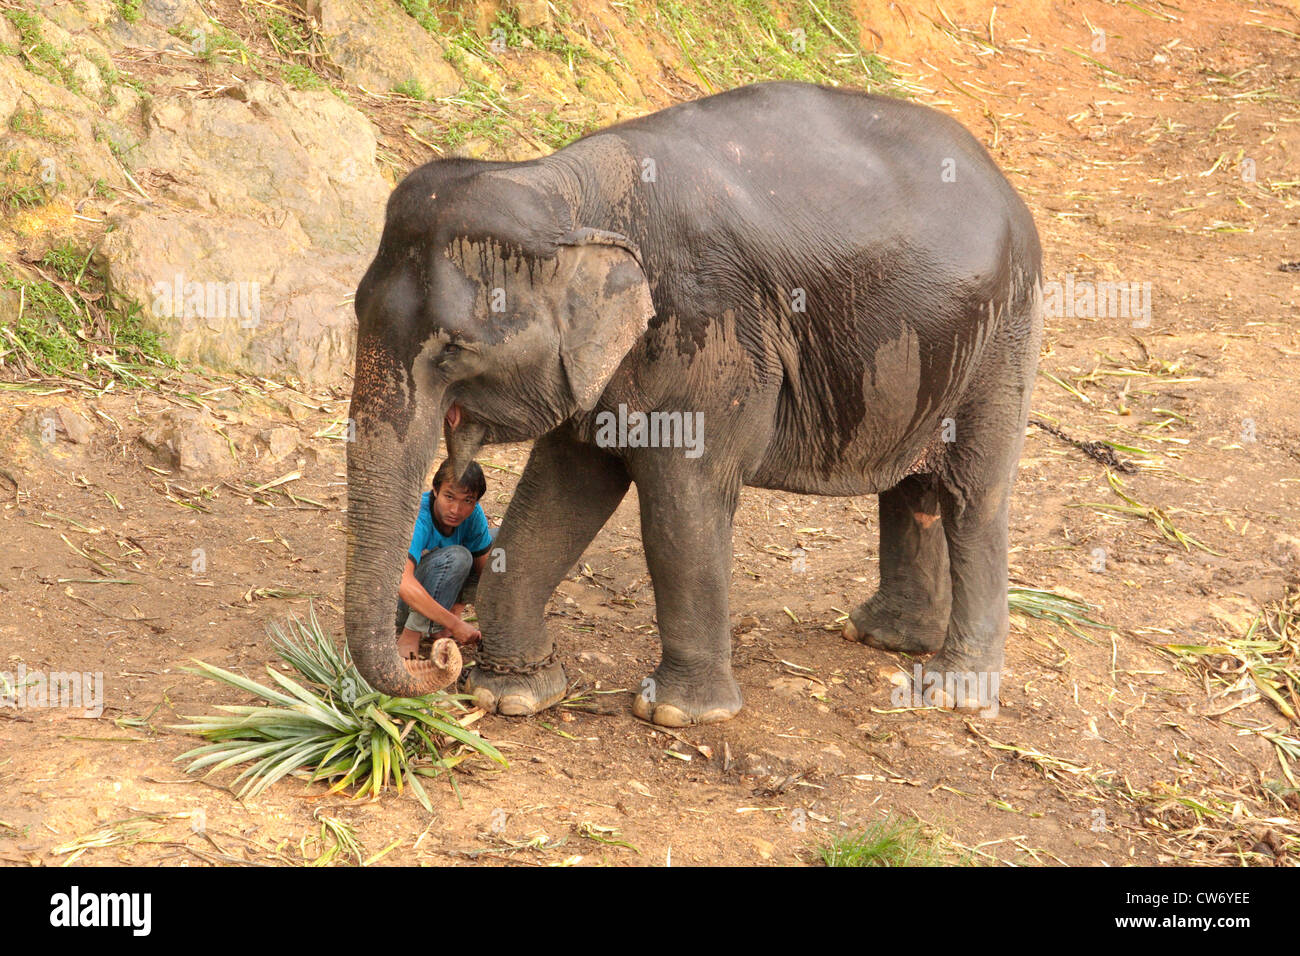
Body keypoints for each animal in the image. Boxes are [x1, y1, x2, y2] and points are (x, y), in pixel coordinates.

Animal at [345, 80, 1042, 726]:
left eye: (453, 349)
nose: (441, 659)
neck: (563, 190)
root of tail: (1002, 180)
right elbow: (563, 490)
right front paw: (512, 695)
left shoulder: (712, 332)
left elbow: (683, 504)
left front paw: (679, 714)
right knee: (911, 487)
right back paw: (882, 635)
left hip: (1004, 340)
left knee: (975, 497)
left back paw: (952, 691)